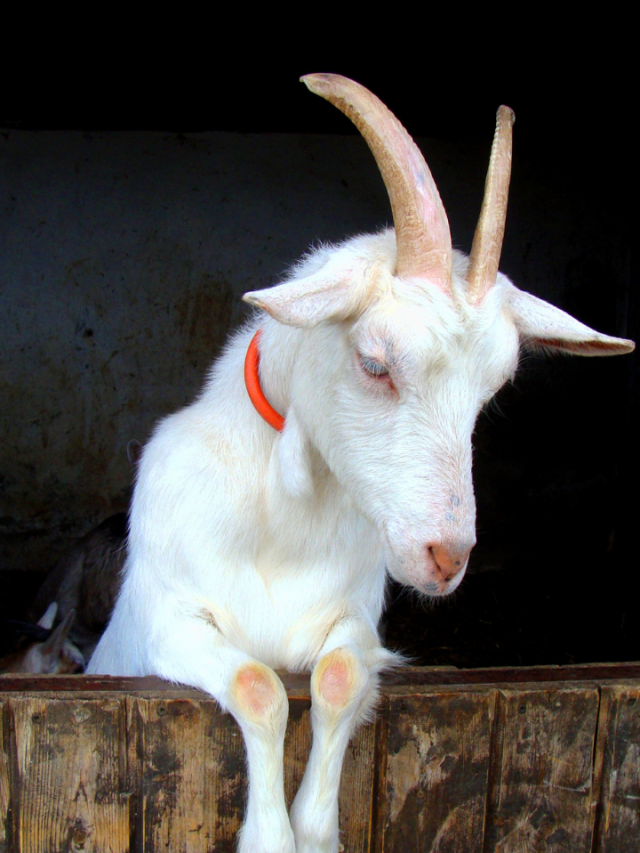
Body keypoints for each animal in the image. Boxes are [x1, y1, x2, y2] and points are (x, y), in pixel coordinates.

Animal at [88, 74, 634, 853]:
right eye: (375, 363)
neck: (279, 527)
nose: (447, 556)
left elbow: (341, 675)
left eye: (494, 388)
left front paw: (315, 831)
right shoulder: (163, 621)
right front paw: (270, 837)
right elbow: (257, 683)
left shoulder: (355, 618)